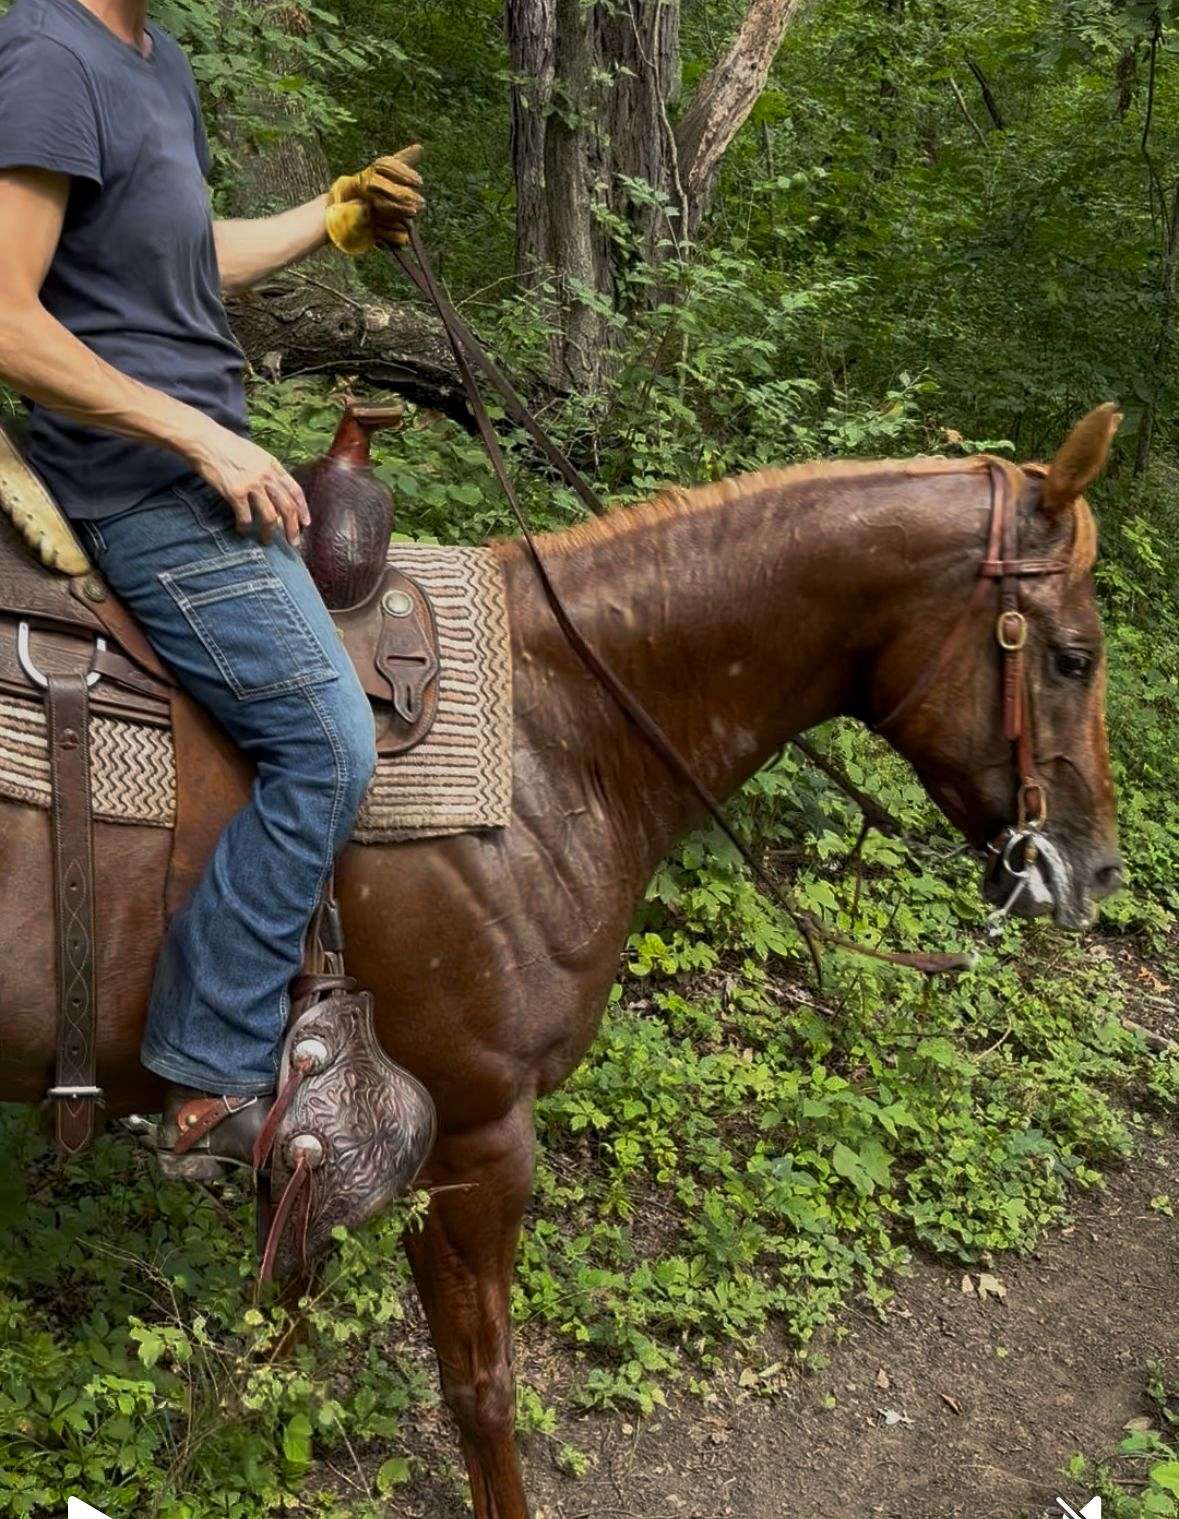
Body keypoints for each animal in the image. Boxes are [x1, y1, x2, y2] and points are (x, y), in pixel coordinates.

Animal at [0, 404, 1123, 1517]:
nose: (1096, 872)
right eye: (1074, 657)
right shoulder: (474, 1131)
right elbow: (481, 1385)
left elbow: (294, 1305)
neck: (558, 732)